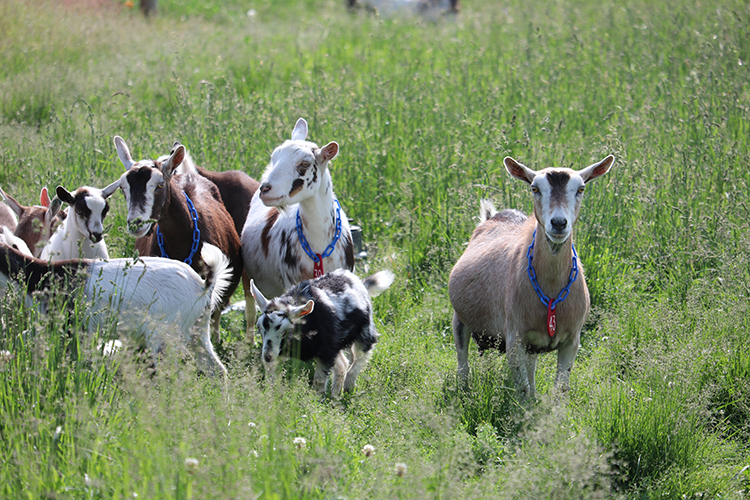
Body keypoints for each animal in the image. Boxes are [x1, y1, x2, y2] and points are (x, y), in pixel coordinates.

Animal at [0, 242, 232, 380]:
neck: (39, 278)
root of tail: (203, 287)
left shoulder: (68, 326)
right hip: (197, 332)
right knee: (217, 370)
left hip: (164, 336)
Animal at [250, 268, 393, 397]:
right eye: (259, 328)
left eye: (285, 331)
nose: (267, 356)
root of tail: (358, 281)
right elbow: (271, 375)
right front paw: (271, 396)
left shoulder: (326, 353)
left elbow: (319, 381)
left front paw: (316, 402)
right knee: (343, 364)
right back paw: (335, 397)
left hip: (364, 332)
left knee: (361, 356)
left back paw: (347, 389)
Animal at [448, 155, 614, 400]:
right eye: (535, 188)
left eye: (581, 189)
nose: (558, 223)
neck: (551, 292)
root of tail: (492, 217)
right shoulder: (514, 338)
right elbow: (523, 390)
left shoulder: (572, 341)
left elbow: (560, 390)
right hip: (460, 319)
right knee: (463, 364)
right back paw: (463, 391)